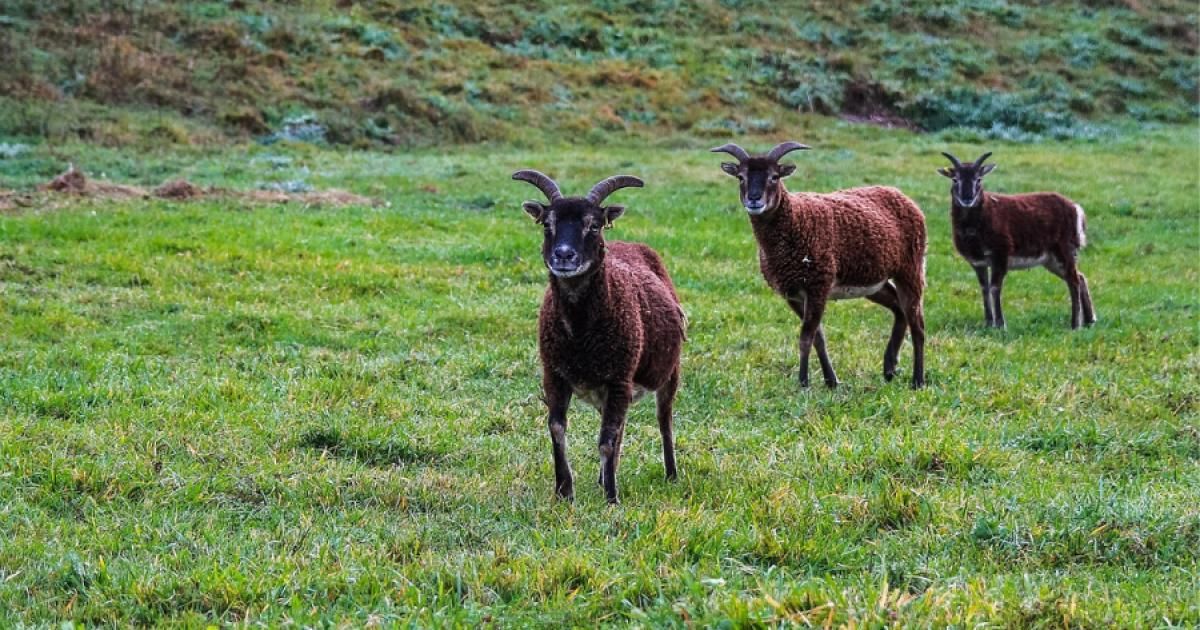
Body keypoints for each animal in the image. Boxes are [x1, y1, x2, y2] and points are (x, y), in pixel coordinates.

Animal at [513, 169, 686, 504]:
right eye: (547, 224)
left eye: (593, 225)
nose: (564, 256)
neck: (580, 334)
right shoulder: (554, 374)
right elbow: (557, 428)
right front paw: (564, 491)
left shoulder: (619, 377)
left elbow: (606, 440)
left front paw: (611, 499)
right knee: (620, 428)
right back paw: (603, 477)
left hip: (667, 372)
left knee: (664, 421)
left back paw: (670, 474)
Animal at [711, 141, 928, 389]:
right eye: (740, 177)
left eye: (774, 176)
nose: (754, 199)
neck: (795, 221)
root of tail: (904, 198)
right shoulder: (793, 293)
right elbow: (817, 337)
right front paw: (831, 381)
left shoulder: (818, 285)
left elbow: (806, 337)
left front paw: (803, 382)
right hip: (874, 281)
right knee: (899, 310)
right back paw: (889, 368)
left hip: (911, 268)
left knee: (918, 325)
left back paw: (917, 380)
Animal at [938, 151, 1096, 329]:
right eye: (955, 179)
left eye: (979, 178)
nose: (967, 198)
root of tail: (1077, 209)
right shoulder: (978, 262)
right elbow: (984, 288)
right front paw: (988, 323)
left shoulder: (1001, 253)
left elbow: (995, 287)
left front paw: (1000, 325)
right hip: (1051, 259)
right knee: (1080, 276)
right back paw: (1090, 320)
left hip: (1064, 248)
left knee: (1073, 280)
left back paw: (1075, 325)